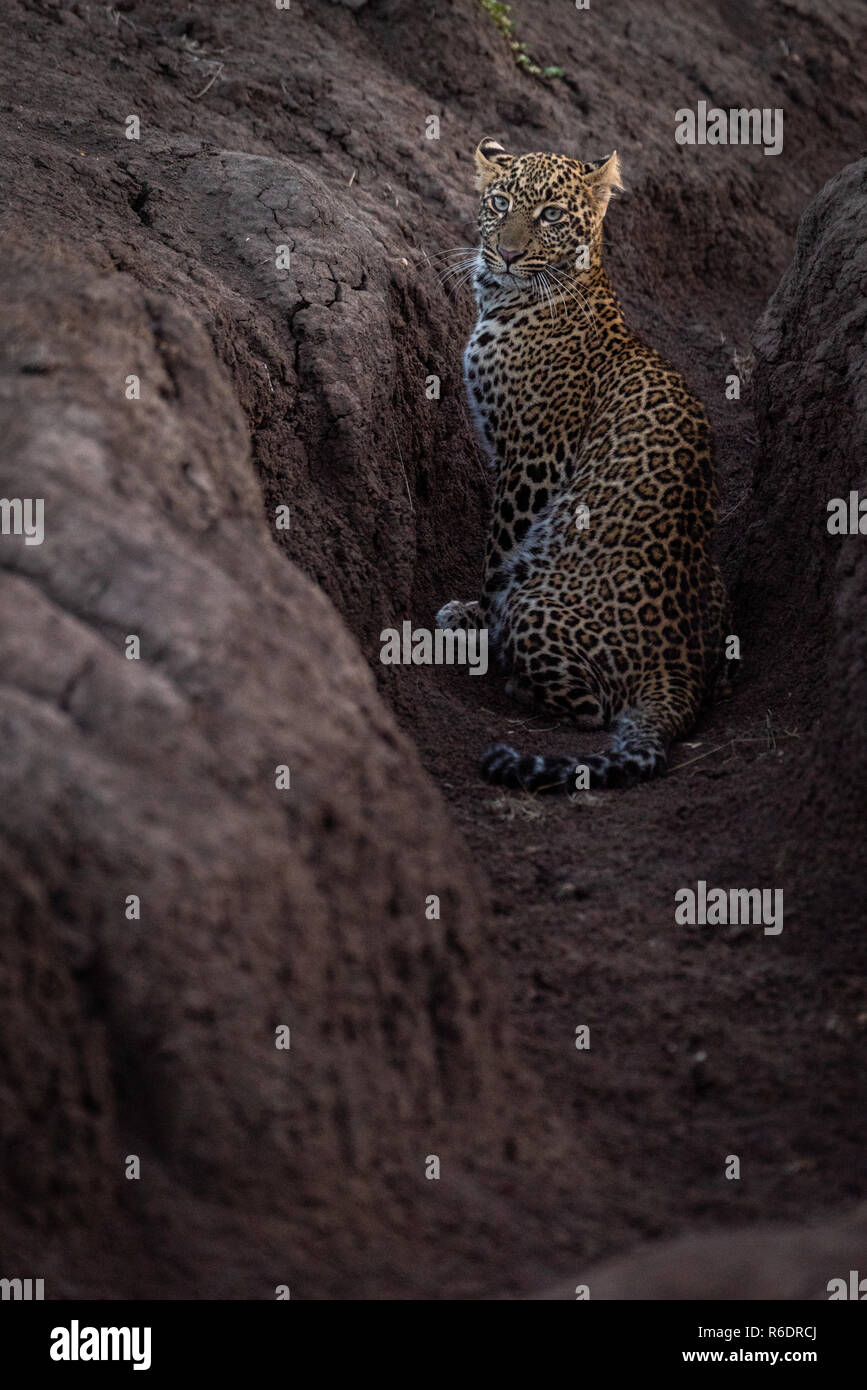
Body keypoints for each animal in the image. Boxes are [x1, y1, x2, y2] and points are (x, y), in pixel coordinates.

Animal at [435, 138, 731, 794]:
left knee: (594, 707)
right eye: (500, 203)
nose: (506, 253)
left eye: (550, 214)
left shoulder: (534, 458)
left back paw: (511, 674)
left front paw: (476, 617)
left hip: (540, 607)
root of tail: (678, 666)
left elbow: (499, 548)